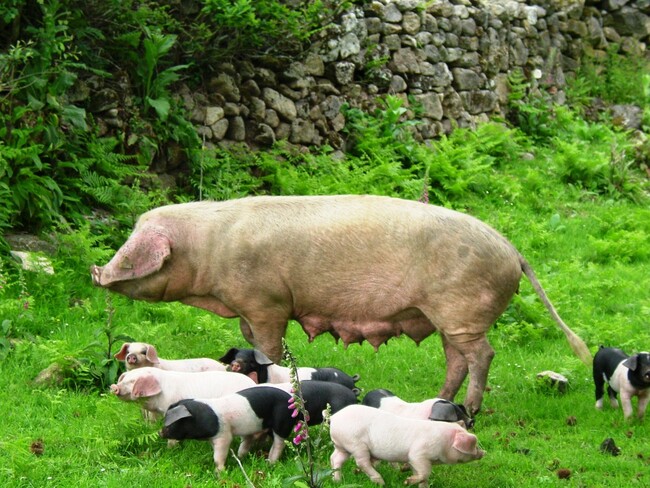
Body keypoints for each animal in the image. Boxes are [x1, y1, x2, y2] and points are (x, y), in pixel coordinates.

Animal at [329, 404, 484, 487]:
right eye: (474, 444)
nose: (483, 452)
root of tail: (334, 418)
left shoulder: (414, 460)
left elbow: (421, 474)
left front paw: (422, 486)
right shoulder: (418, 454)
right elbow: (425, 472)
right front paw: (406, 482)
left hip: (343, 445)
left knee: (335, 458)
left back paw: (337, 481)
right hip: (356, 444)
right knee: (362, 462)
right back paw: (380, 482)